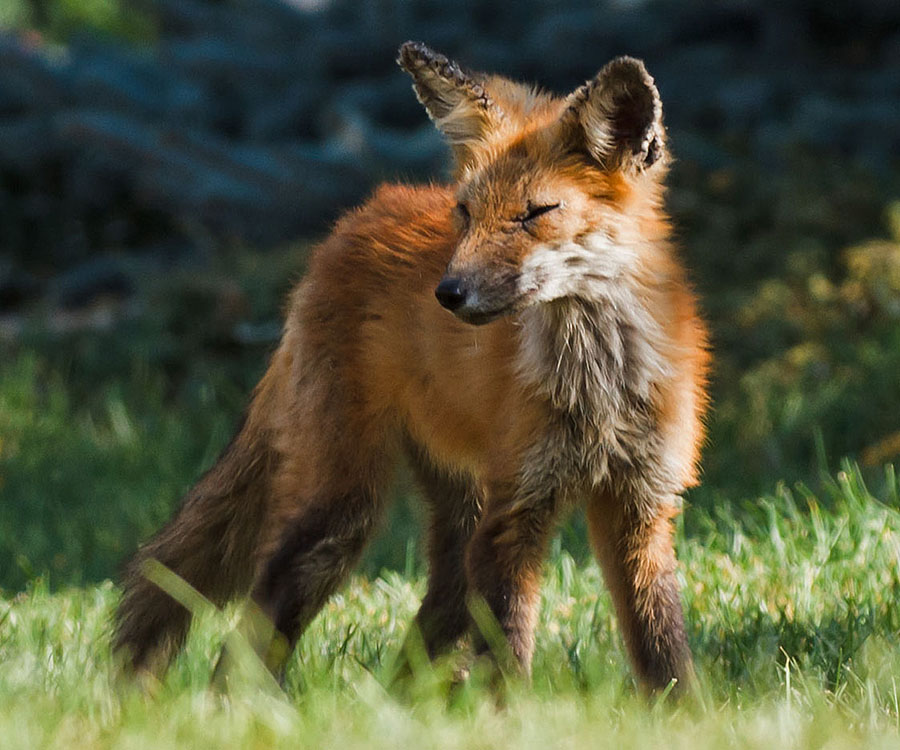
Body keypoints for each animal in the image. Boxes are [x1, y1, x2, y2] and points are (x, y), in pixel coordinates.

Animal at [113, 42, 709, 695]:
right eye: (466, 213)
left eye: (536, 213)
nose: (449, 294)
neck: (599, 387)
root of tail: (353, 220)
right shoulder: (518, 507)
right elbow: (508, 651)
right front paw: (513, 713)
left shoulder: (641, 506)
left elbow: (663, 648)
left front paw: (684, 712)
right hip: (338, 513)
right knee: (248, 632)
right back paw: (238, 705)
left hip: (457, 505)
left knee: (440, 607)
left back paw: (401, 702)